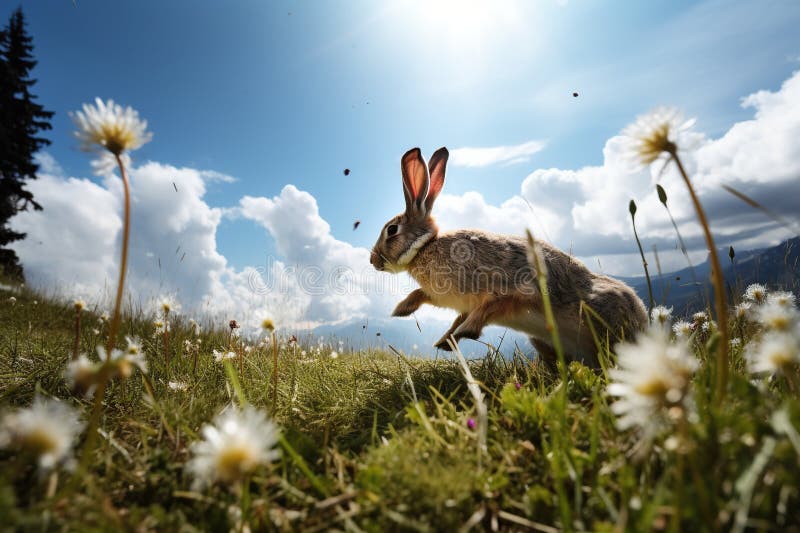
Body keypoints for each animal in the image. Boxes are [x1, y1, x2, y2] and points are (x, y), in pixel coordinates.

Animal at [370, 147, 648, 369]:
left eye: (391, 230)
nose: (373, 261)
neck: (426, 247)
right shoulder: (454, 300)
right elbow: (428, 299)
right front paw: (423, 326)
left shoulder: (510, 291)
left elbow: (488, 309)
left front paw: (463, 333)